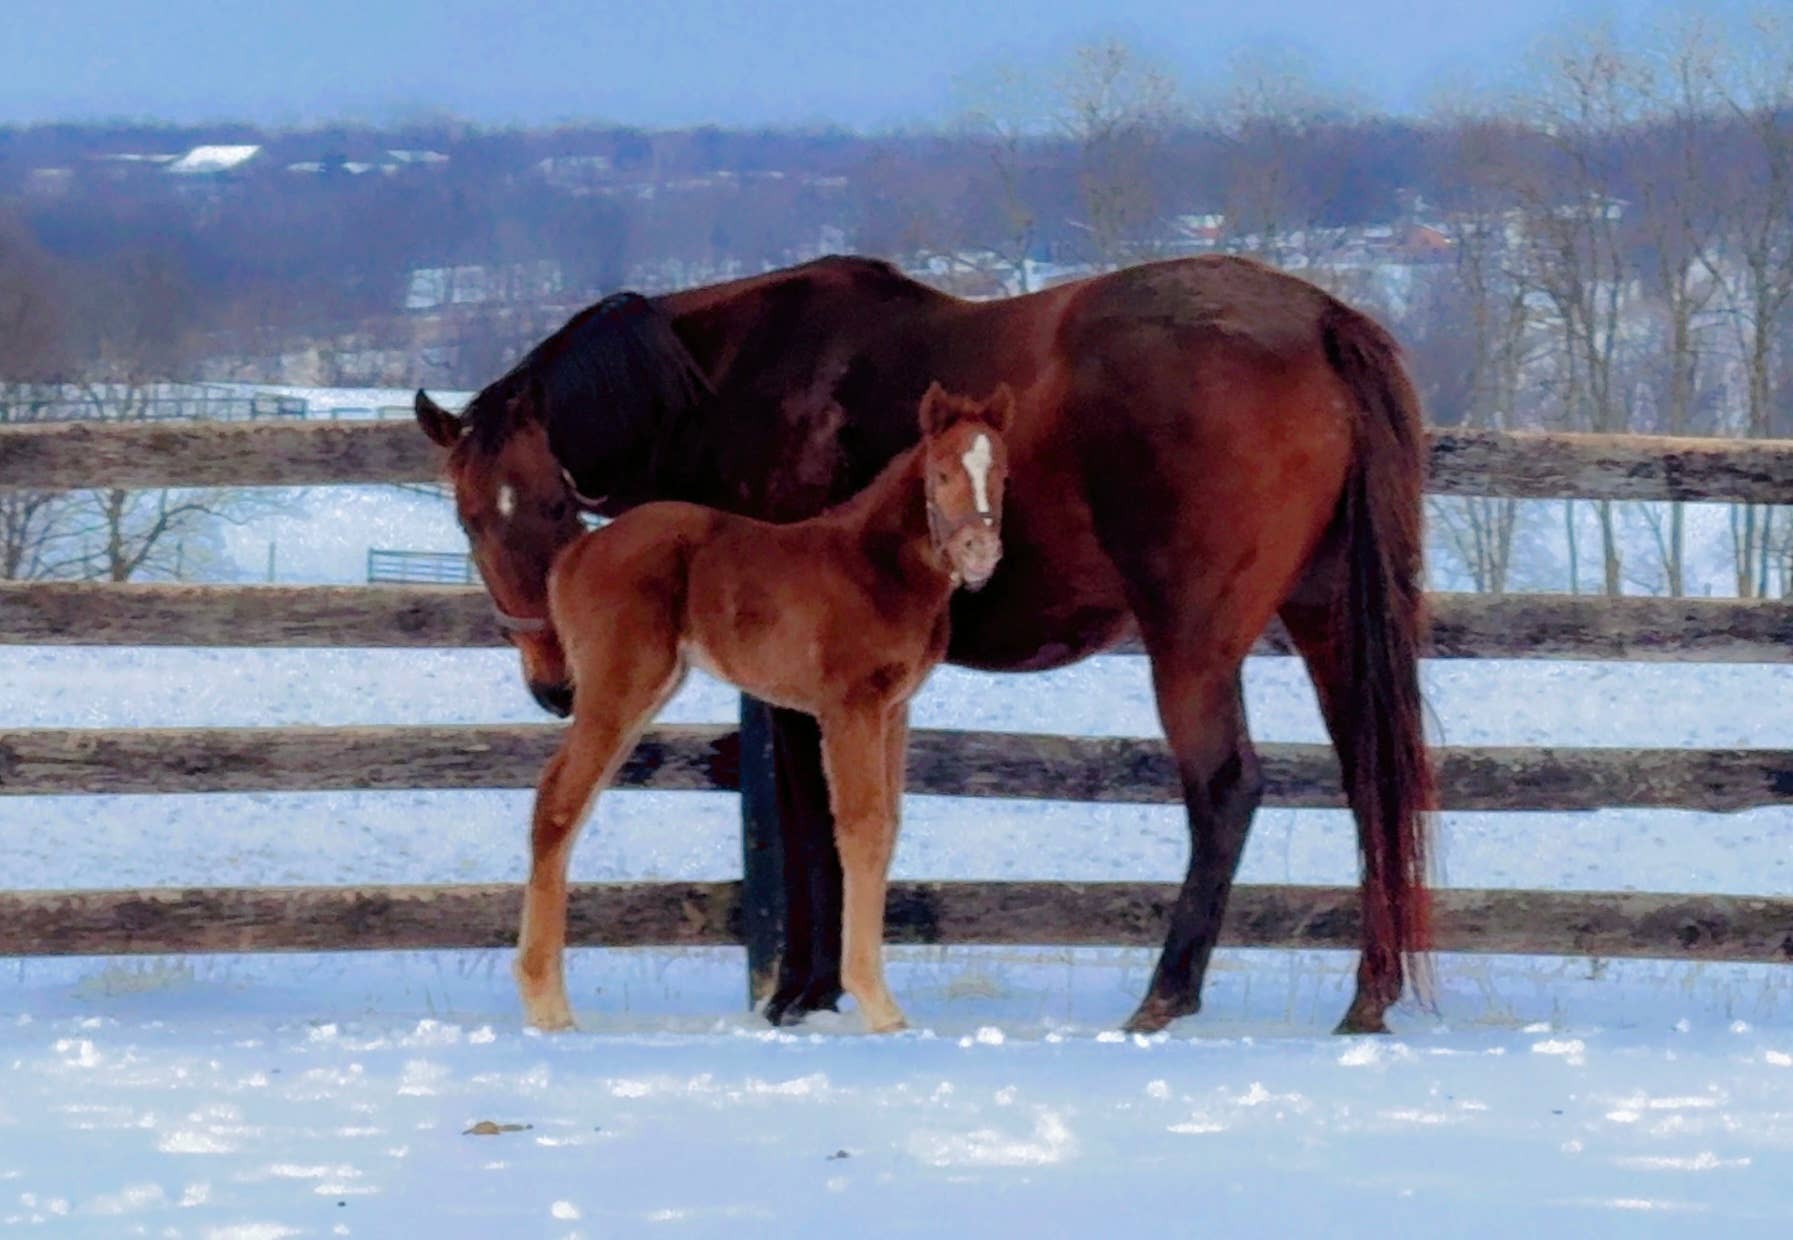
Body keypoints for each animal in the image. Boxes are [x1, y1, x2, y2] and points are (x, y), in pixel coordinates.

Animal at [512, 380, 1012, 1033]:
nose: (980, 552)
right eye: (943, 471)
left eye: (1001, 471)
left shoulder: (894, 711)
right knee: (558, 803)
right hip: (619, 686)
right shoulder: (848, 707)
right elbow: (862, 827)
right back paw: (548, 1005)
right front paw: (879, 1005)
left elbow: (889, 828)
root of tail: (575, 553)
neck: (874, 567)